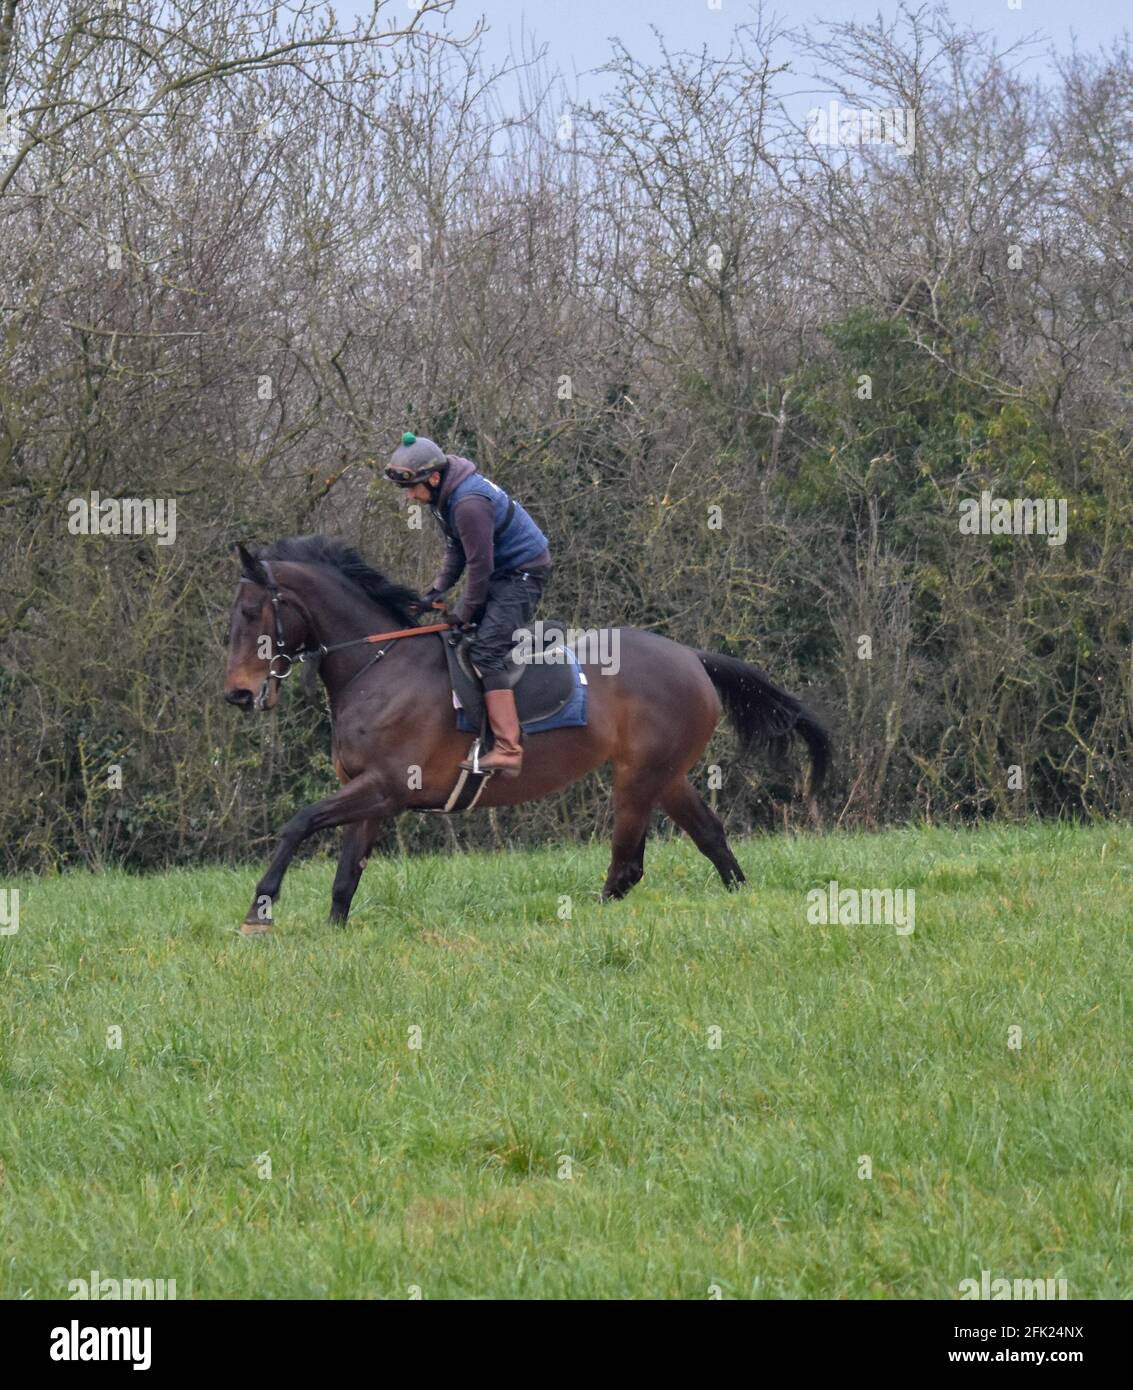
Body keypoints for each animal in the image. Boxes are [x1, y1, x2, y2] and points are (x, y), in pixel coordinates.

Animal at [223, 535, 830, 933]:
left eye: (252, 612)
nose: (238, 695)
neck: (378, 664)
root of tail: (692, 656)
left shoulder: (388, 786)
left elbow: (299, 822)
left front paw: (260, 909)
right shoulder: (371, 793)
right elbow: (346, 874)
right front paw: (333, 930)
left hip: (639, 777)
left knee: (628, 863)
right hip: (667, 775)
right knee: (708, 837)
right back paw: (739, 898)